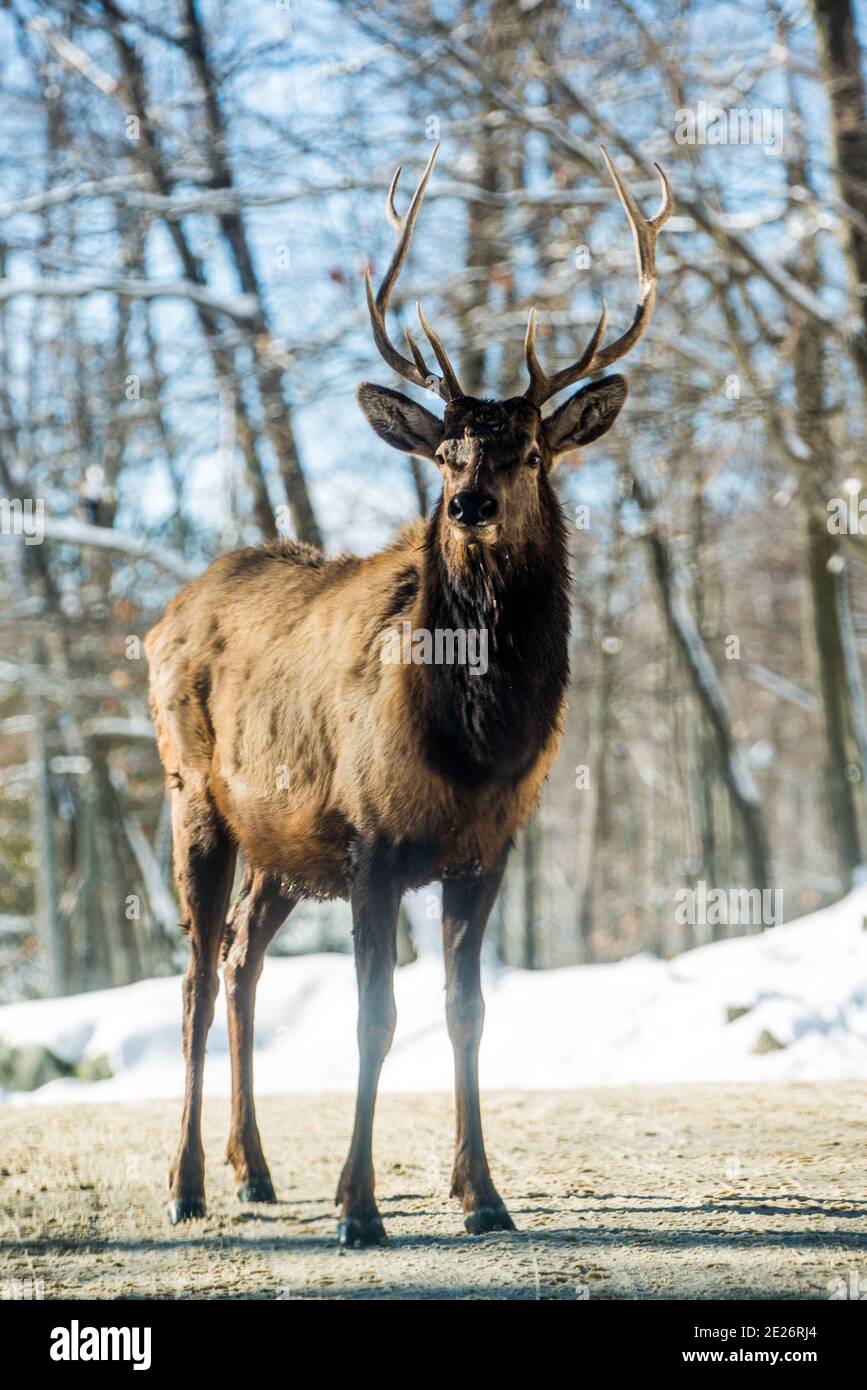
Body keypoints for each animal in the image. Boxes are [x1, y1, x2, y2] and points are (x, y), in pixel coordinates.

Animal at [145, 143, 671, 1245]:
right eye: (445, 449)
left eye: (530, 448)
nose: (468, 503)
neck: (476, 745)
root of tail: (167, 611)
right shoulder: (374, 839)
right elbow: (373, 1016)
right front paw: (359, 1208)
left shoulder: (486, 849)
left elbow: (467, 1014)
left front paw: (484, 1197)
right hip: (193, 797)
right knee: (194, 980)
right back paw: (187, 1183)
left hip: (282, 844)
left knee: (241, 963)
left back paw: (256, 1171)